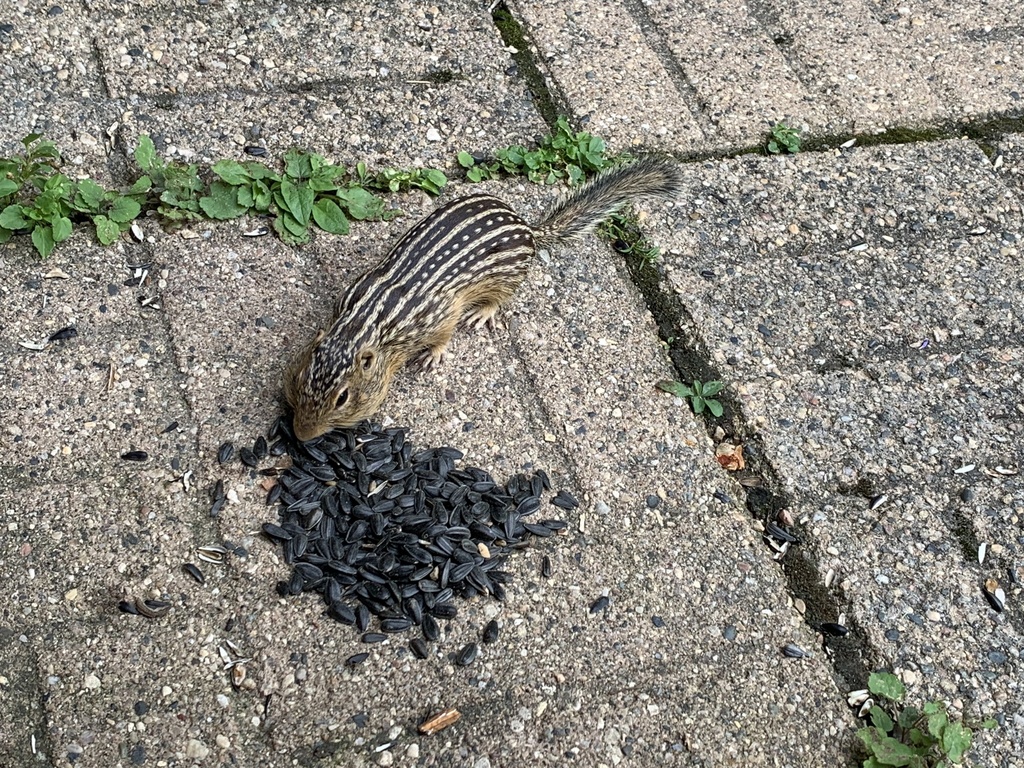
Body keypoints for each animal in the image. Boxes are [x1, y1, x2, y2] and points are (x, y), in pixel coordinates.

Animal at [284, 157, 684, 441]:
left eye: (342, 398)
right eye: (300, 376)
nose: (302, 436)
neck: (366, 322)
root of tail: (527, 227)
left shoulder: (440, 313)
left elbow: (443, 335)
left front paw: (434, 355)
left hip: (507, 278)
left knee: (502, 297)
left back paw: (482, 313)